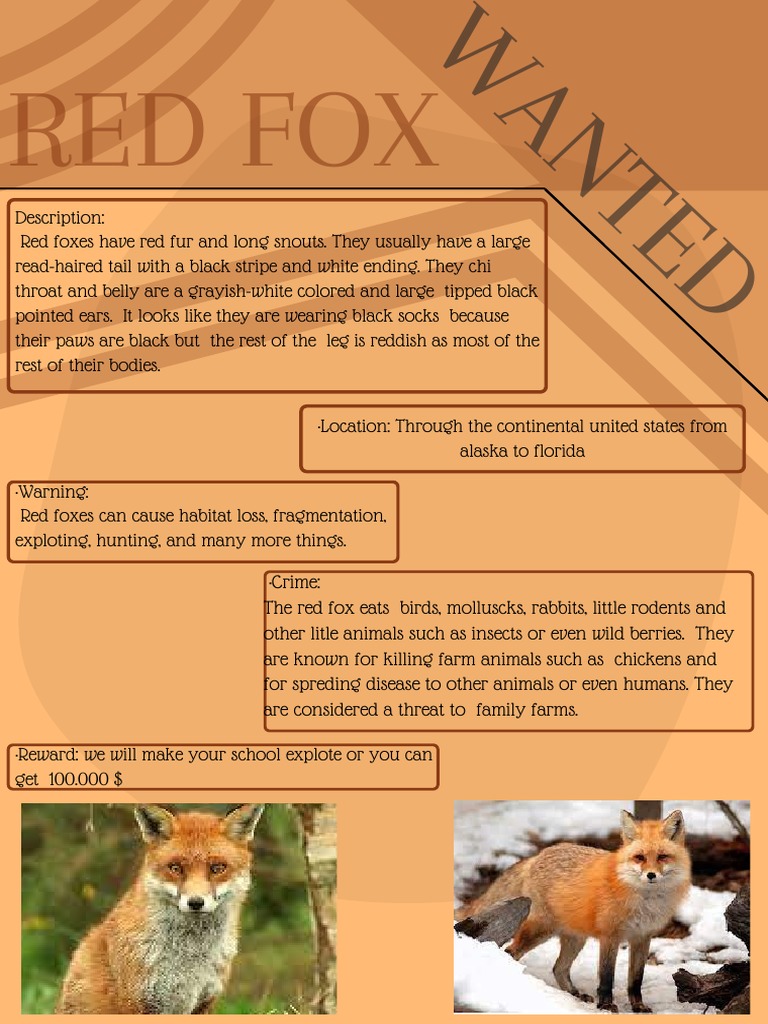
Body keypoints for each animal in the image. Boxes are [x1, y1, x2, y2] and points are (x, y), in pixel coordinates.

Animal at [56, 803, 264, 1015]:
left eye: (217, 868)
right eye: (175, 868)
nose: (195, 902)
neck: (191, 958)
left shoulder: (204, 1001)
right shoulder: (139, 1001)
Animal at [456, 809, 691, 1013]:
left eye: (662, 857)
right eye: (640, 857)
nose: (651, 875)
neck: (645, 902)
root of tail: (539, 855)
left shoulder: (642, 937)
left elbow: (636, 980)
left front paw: (638, 1007)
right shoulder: (610, 936)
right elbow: (606, 977)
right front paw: (606, 1006)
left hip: (576, 939)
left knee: (558, 968)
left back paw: (574, 994)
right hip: (540, 930)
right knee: (511, 952)